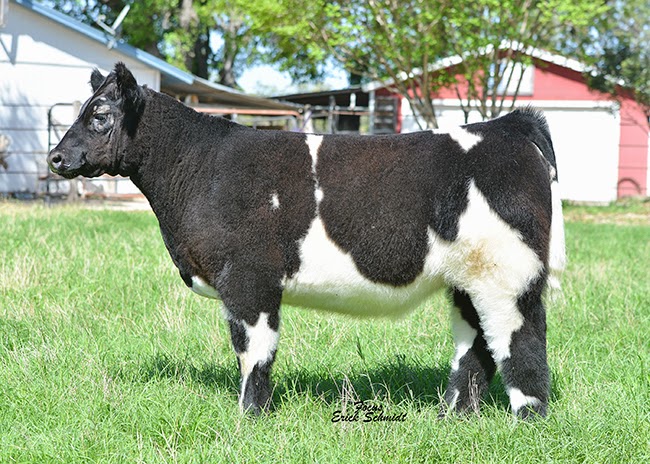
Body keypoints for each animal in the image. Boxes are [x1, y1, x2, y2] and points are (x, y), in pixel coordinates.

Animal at [47, 63, 566, 419]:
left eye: (100, 114)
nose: (55, 156)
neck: (201, 166)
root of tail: (508, 125)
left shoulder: (249, 278)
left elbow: (253, 350)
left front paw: (249, 417)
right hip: (467, 280)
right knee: (476, 349)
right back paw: (452, 416)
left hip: (508, 274)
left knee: (523, 342)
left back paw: (526, 420)